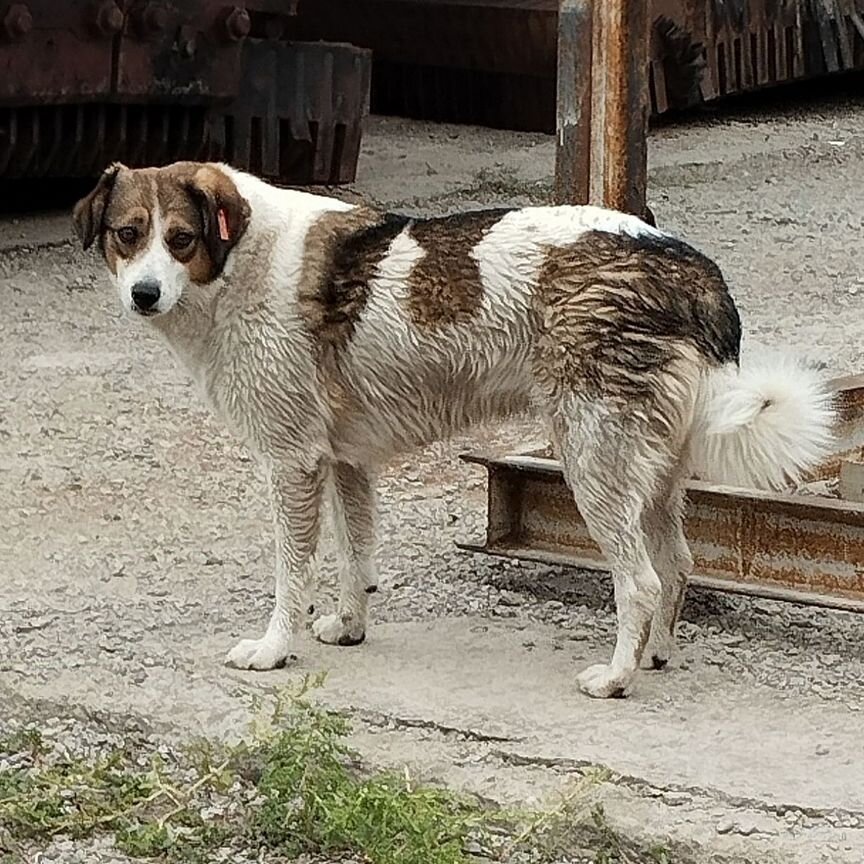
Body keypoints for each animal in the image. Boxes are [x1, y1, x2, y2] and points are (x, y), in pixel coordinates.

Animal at [74, 162, 836, 700]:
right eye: (127, 235)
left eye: (180, 239)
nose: (144, 294)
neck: (242, 258)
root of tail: (686, 265)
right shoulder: (345, 462)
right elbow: (355, 558)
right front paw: (349, 628)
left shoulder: (292, 464)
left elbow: (294, 572)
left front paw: (273, 649)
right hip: (649, 473)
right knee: (677, 564)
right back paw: (655, 654)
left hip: (592, 465)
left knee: (641, 581)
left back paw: (616, 678)